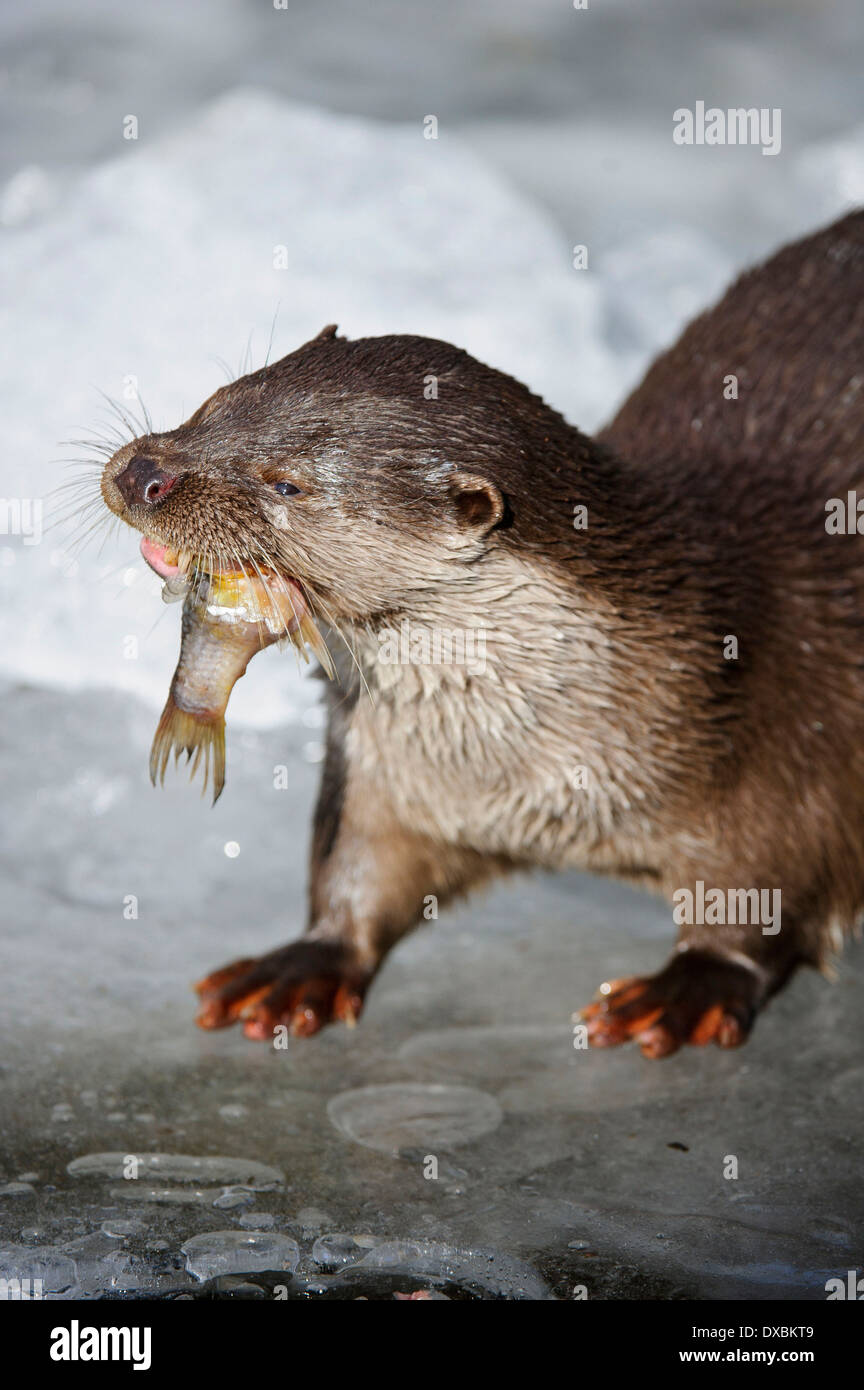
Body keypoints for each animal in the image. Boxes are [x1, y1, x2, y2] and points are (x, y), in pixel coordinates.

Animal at [100, 210, 864, 1059]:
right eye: (214, 402)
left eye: (287, 485)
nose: (144, 473)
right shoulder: (379, 771)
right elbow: (354, 864)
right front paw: (304, 962)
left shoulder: (793, 746)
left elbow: (762, 900)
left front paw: (689, 987)